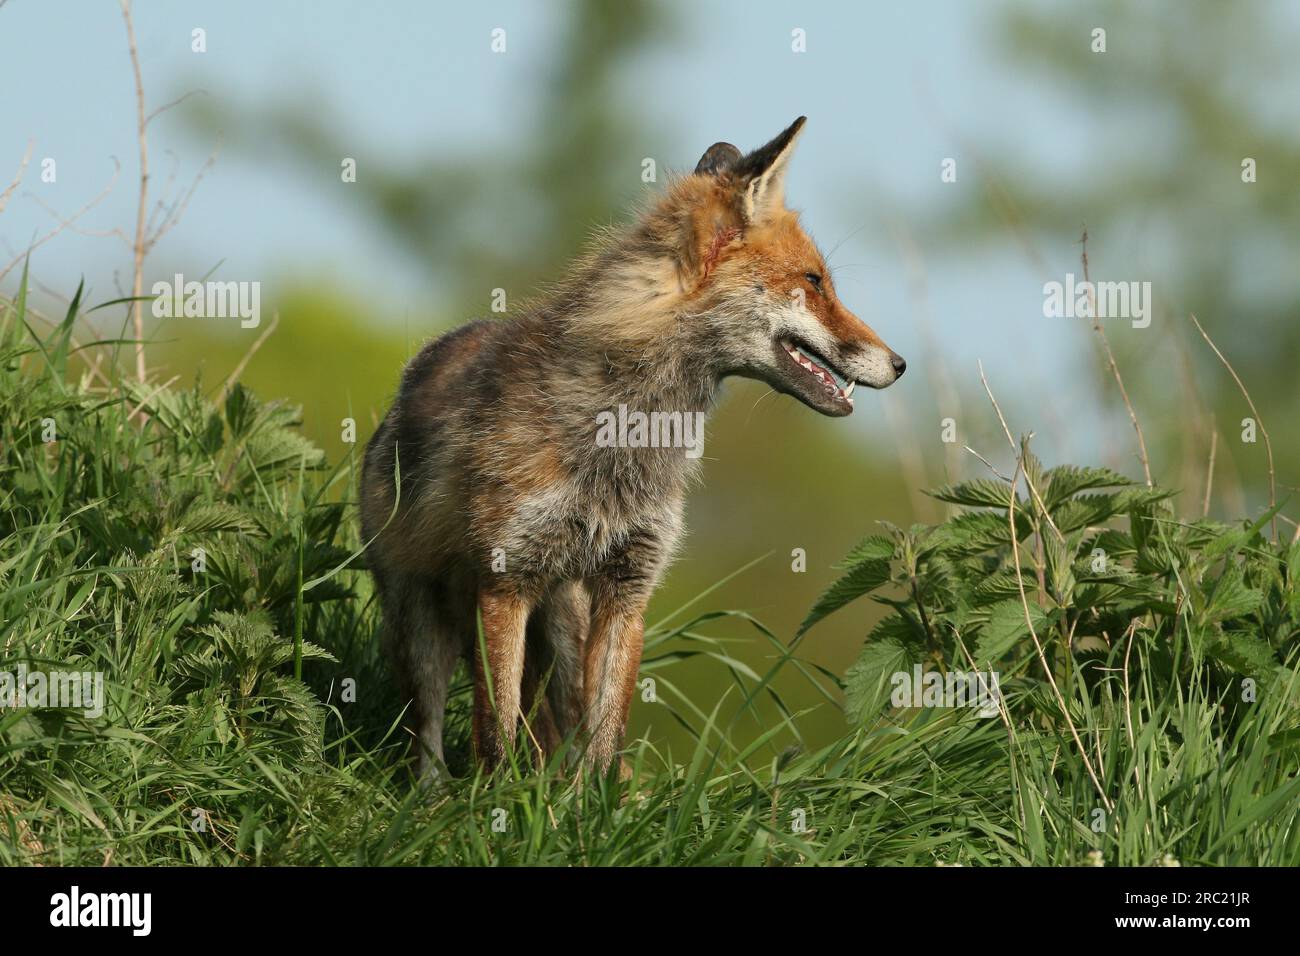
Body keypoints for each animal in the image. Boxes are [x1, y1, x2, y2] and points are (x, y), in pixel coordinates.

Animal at [360, 116, 905, 781]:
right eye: (814, 282)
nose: (900, 364)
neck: (625, 441)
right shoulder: (506, 581)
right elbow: (496, 729)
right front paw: (496, 800)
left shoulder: (628, 586)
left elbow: (606, 733)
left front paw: (596, 803)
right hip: (421, 618)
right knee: (432, 731)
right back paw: (436, 793)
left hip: (564, 620)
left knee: (563, 720)